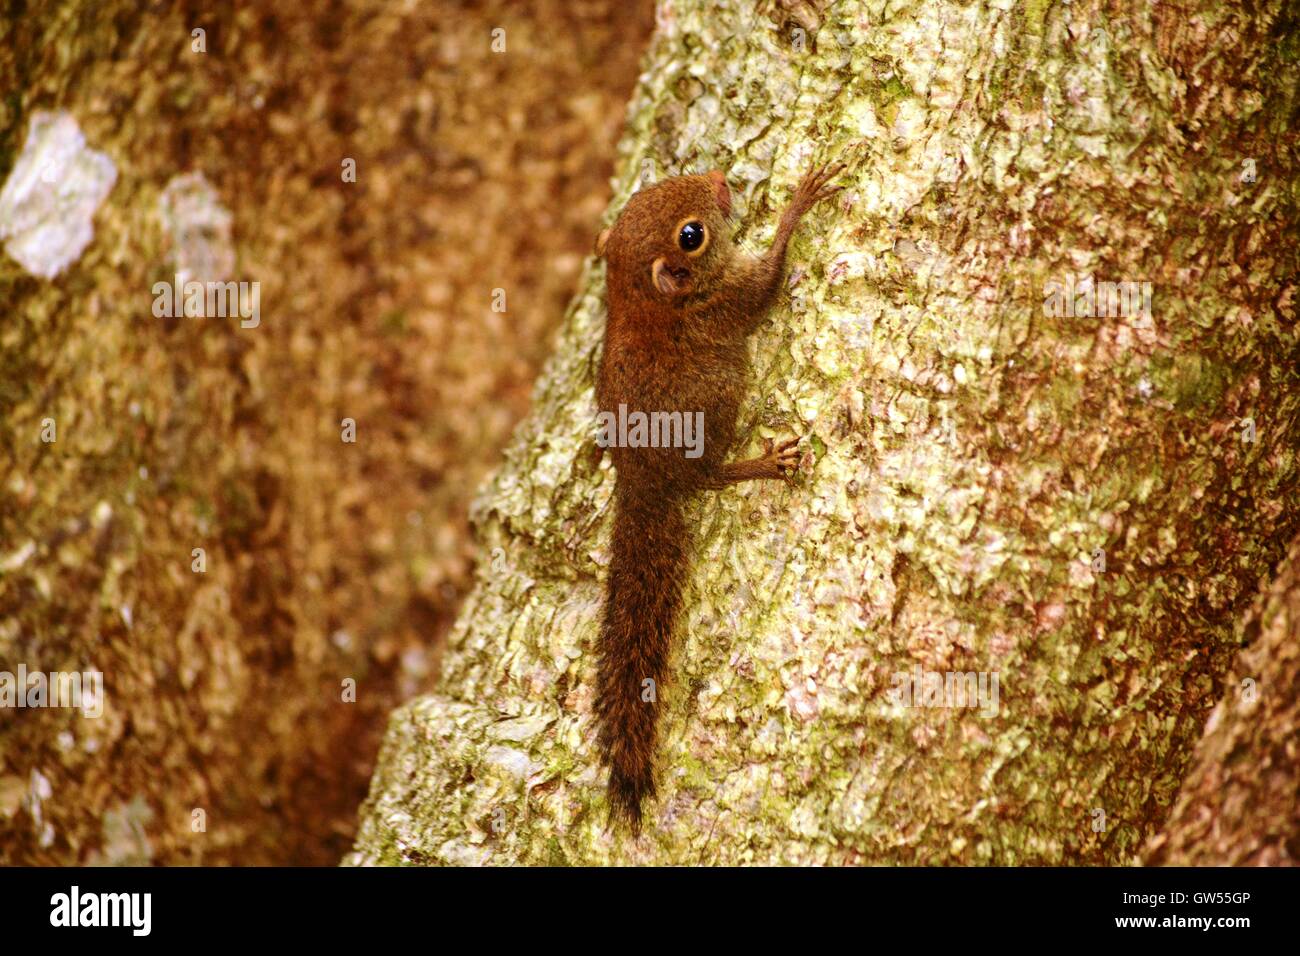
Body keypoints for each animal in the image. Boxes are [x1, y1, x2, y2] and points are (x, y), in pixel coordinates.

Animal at [591, 161, 843, 831]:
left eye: (649, 188)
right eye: (691, 235)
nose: (719, 178)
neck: (644, 299)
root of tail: (643, 485)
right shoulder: (728, 300)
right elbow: (771, 277)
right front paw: (799, 201)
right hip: (719, 403)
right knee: (710, 477)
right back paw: (764, 463)